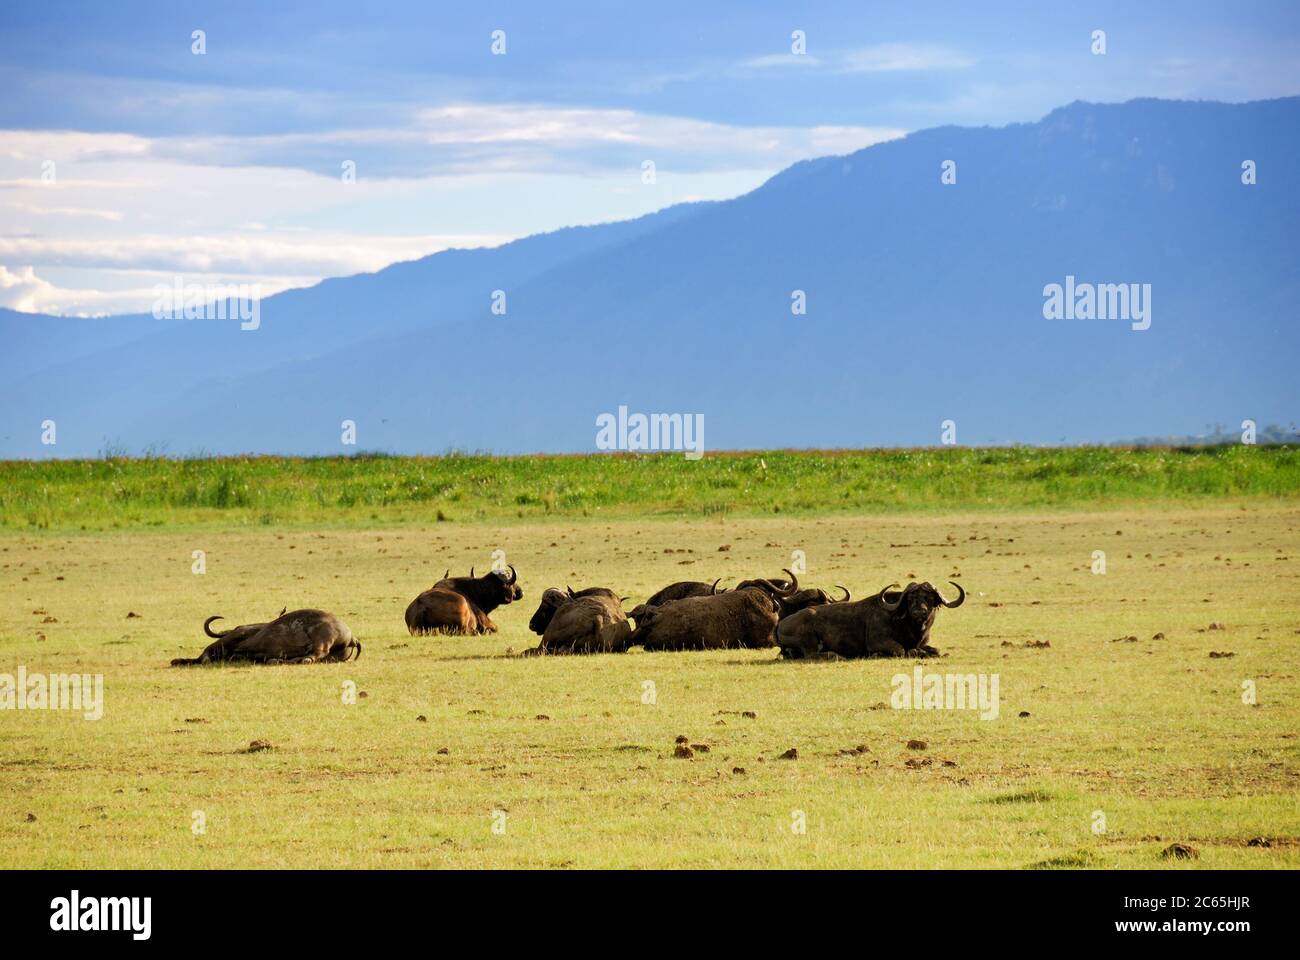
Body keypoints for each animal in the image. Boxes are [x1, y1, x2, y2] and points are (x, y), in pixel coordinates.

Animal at [776, 580, 965, 659]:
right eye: (911, 598)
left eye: (929, 598)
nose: (920, 612)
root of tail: (779, 626)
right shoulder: (878, 641)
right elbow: (901, 650)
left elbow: (936, 650)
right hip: (810, 641)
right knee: (812, 654)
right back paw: (836, 656)